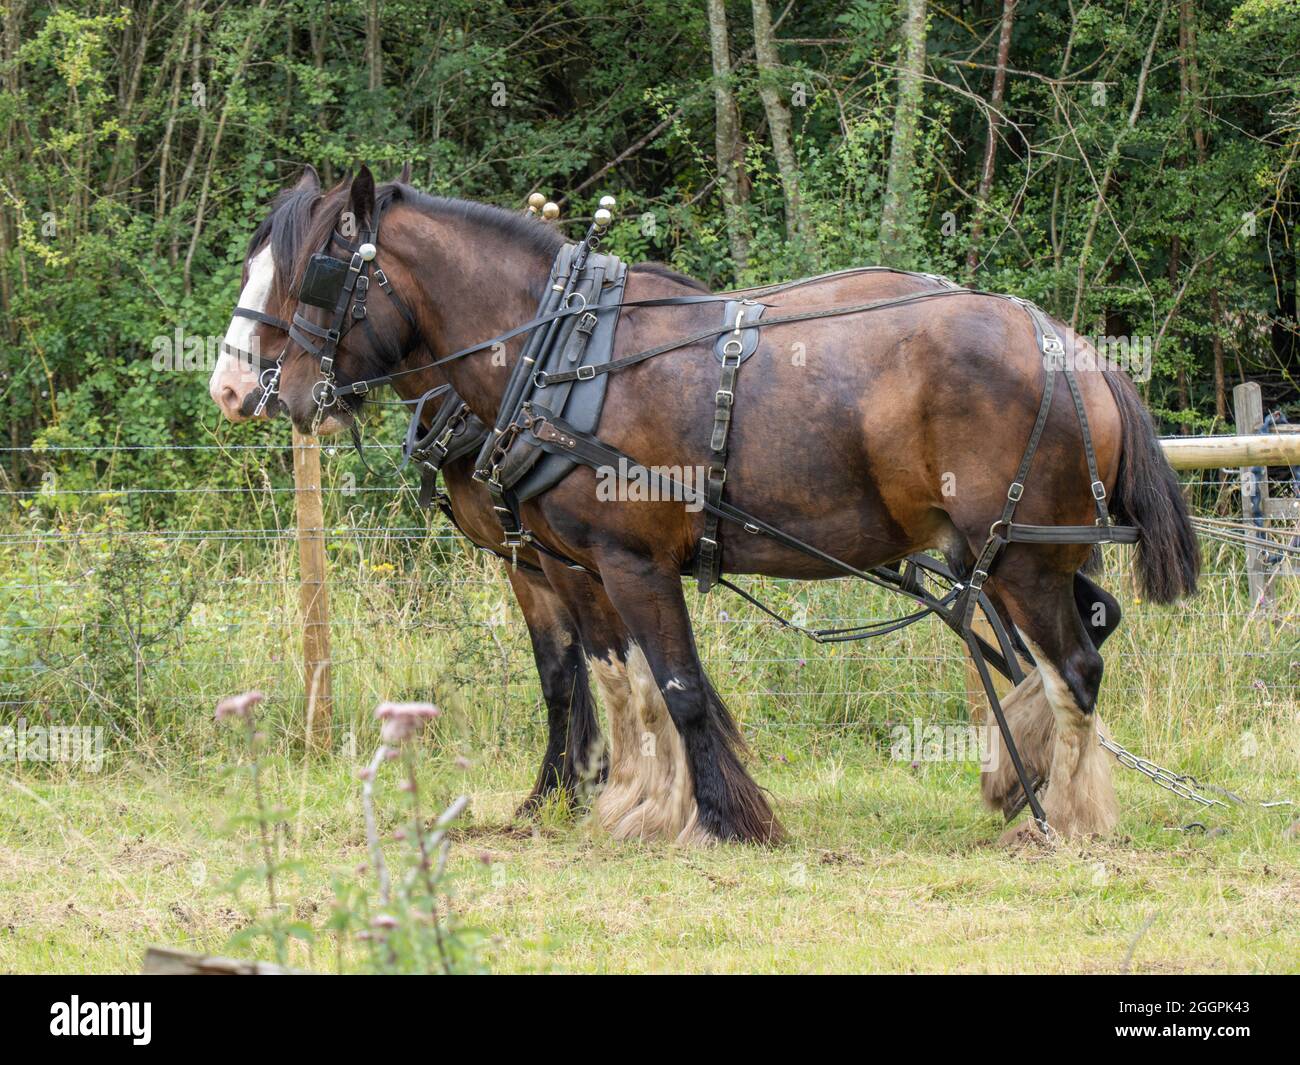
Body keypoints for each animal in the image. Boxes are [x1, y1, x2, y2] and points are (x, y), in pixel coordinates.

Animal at [212, 165, 1199, 845]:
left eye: (316, 274)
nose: (238, 387)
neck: (565, 358)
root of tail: (1070, 343)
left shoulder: (627, 561)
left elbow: (674, 689)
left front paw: (724, 817)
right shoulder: (575, 564)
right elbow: (621, 683)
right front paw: (635, 804)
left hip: (1022, 555)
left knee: (1074, 669)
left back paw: (1065, 815)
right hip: (1002, 555)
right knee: (1061, 647)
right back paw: (1023, 784)